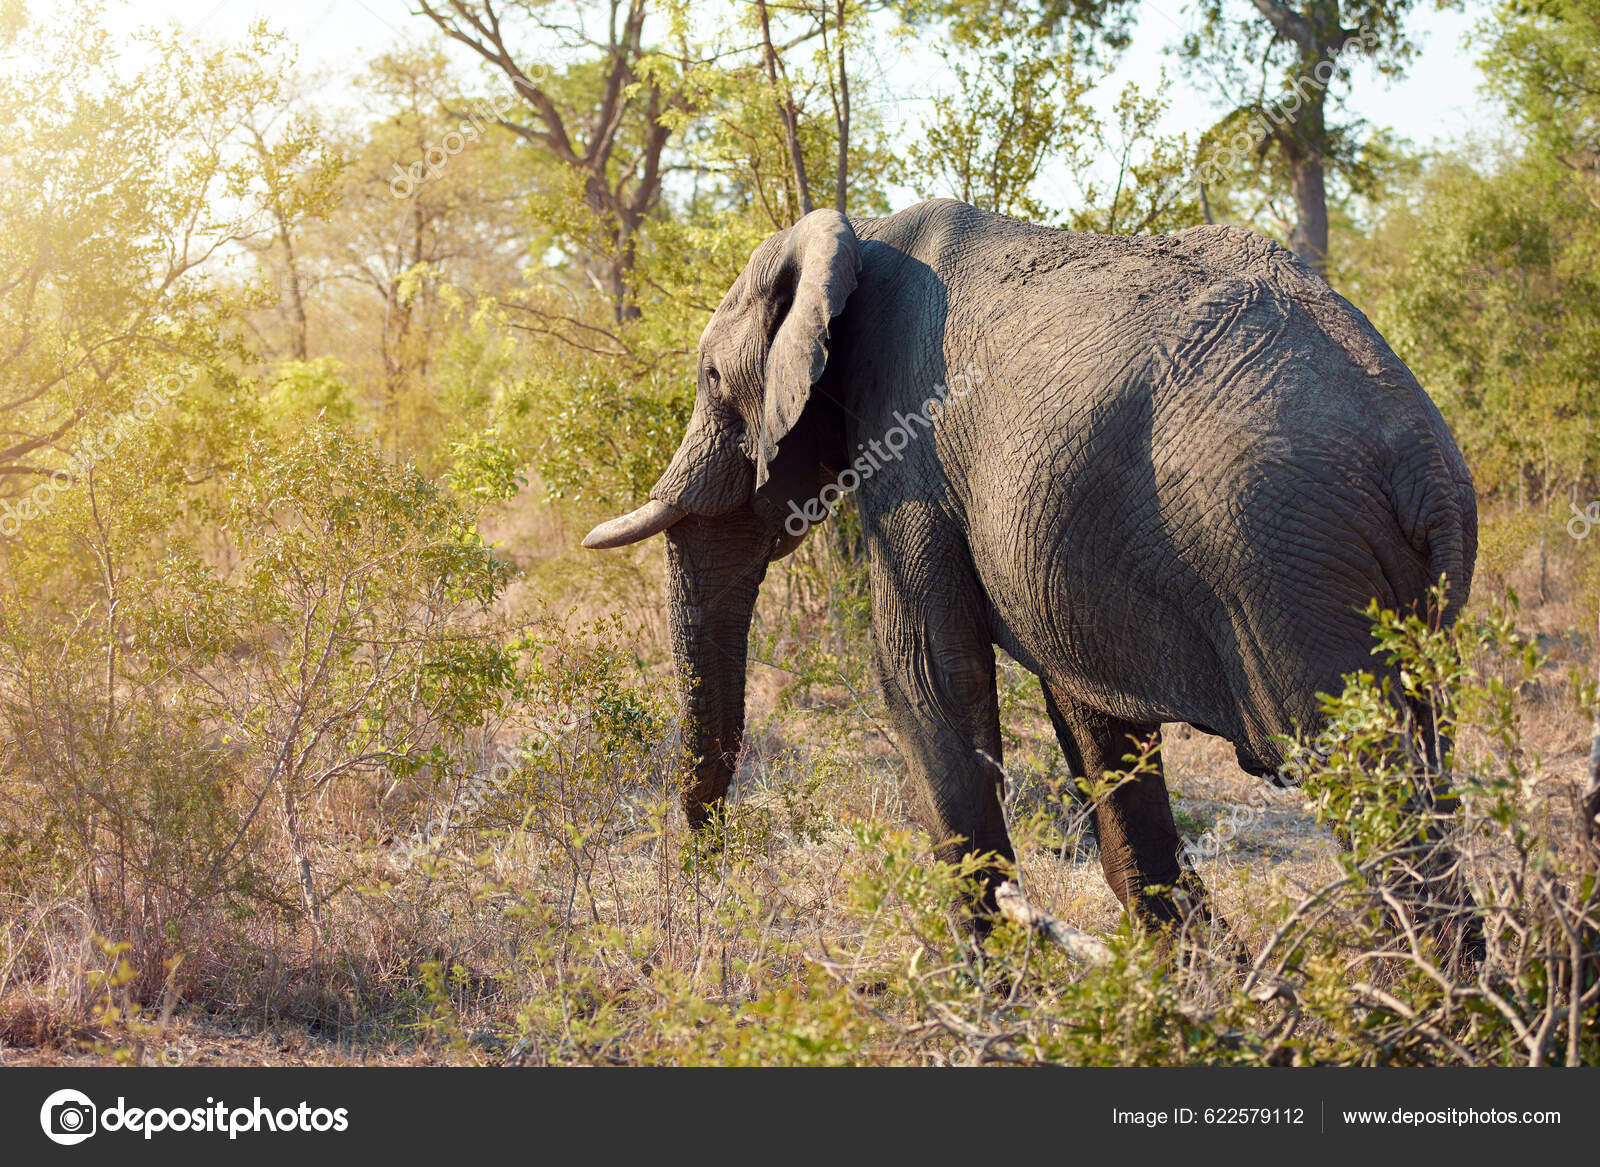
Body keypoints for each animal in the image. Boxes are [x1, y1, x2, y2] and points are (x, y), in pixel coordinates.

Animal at [583, 198, 1477, 934]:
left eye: (710, 377)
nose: (706, 868)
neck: (859, 237)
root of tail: (1416, 463)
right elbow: (1090, 713)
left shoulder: (912, 447)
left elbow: (926, 677)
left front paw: (1001, 991)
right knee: (1427, 762)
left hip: (1285, 559)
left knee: (1368, 788)